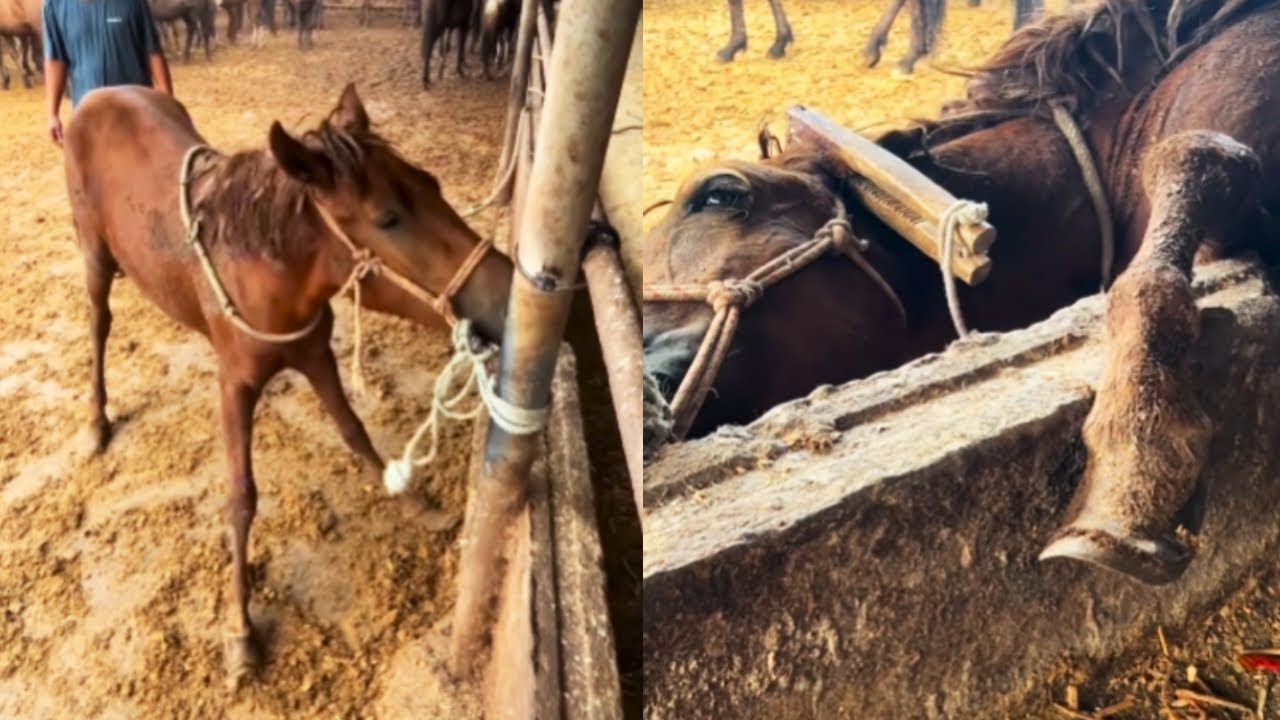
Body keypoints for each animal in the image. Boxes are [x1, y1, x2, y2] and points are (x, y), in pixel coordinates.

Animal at [63, 83, 513, 684]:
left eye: (434, 186)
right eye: (388, 218)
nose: (510, 295)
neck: (267, 275)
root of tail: (100, 94)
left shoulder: (316, 354)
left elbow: (354, 431)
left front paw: (411, 499)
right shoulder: (234, 385)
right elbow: (241, 496)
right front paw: (240, 631)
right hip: (92, 252)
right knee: (98, 324)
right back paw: (96, 421)